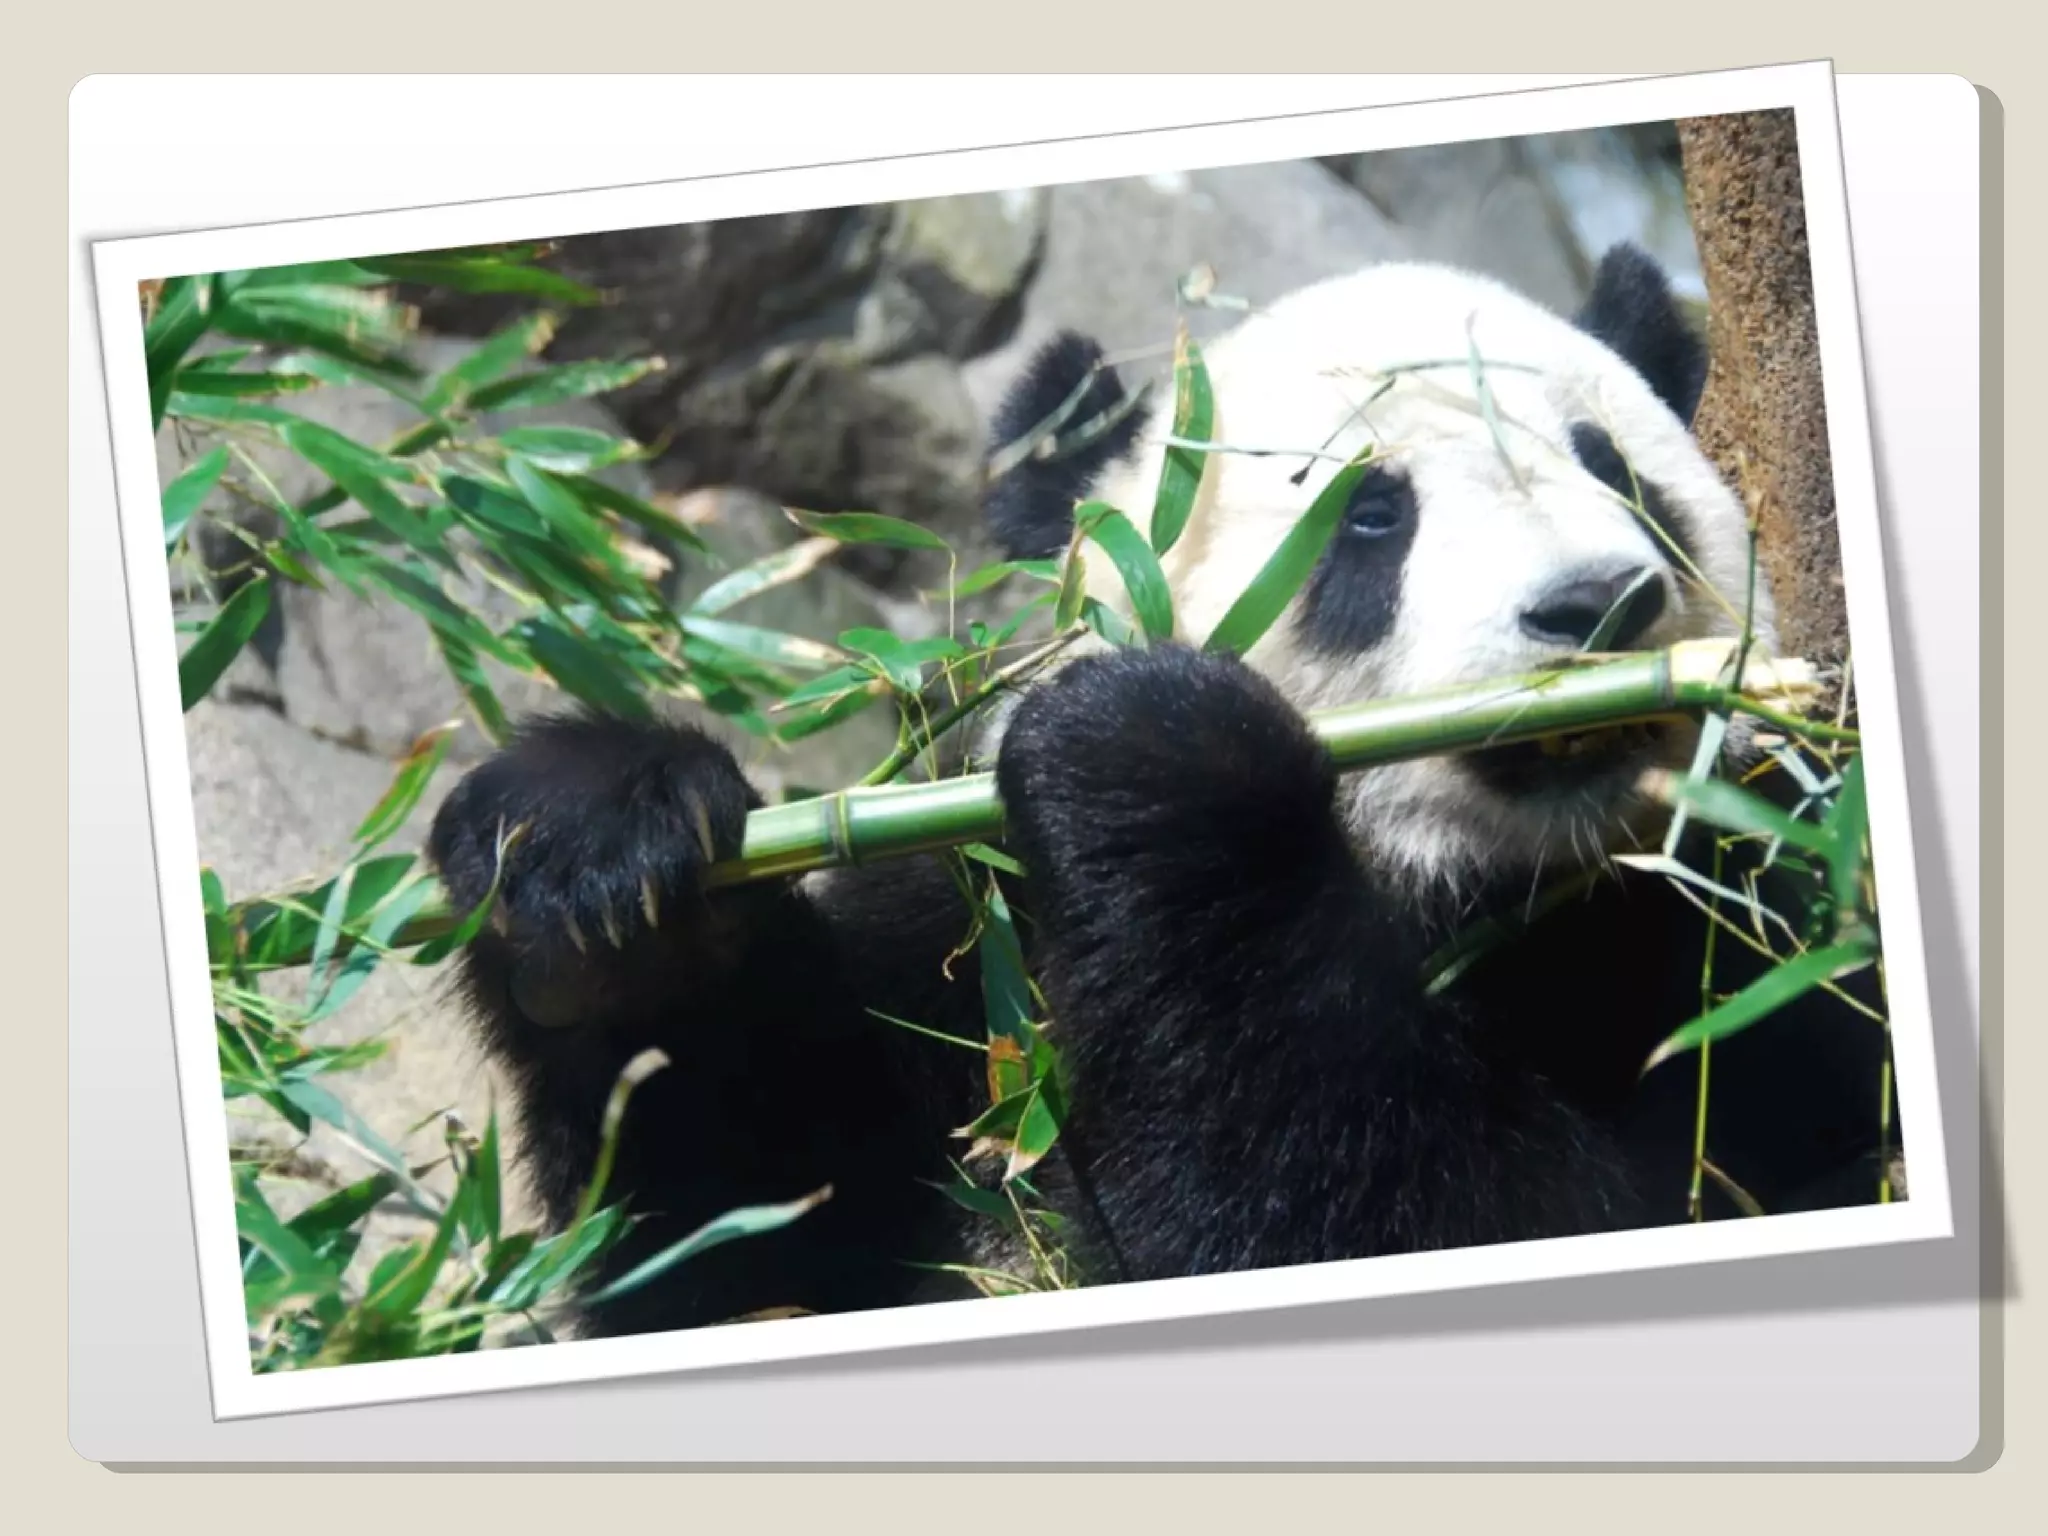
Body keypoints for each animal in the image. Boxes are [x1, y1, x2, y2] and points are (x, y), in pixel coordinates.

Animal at [426, 243, 1898, 1340]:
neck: (1481, 893)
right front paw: (594, 873)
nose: (1598, 608)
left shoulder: (1765, 952)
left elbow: (1443, 1197)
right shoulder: (972, 967)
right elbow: (755, 1232)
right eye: (1371, 517)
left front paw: (1160, 765)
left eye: (1618, 473)